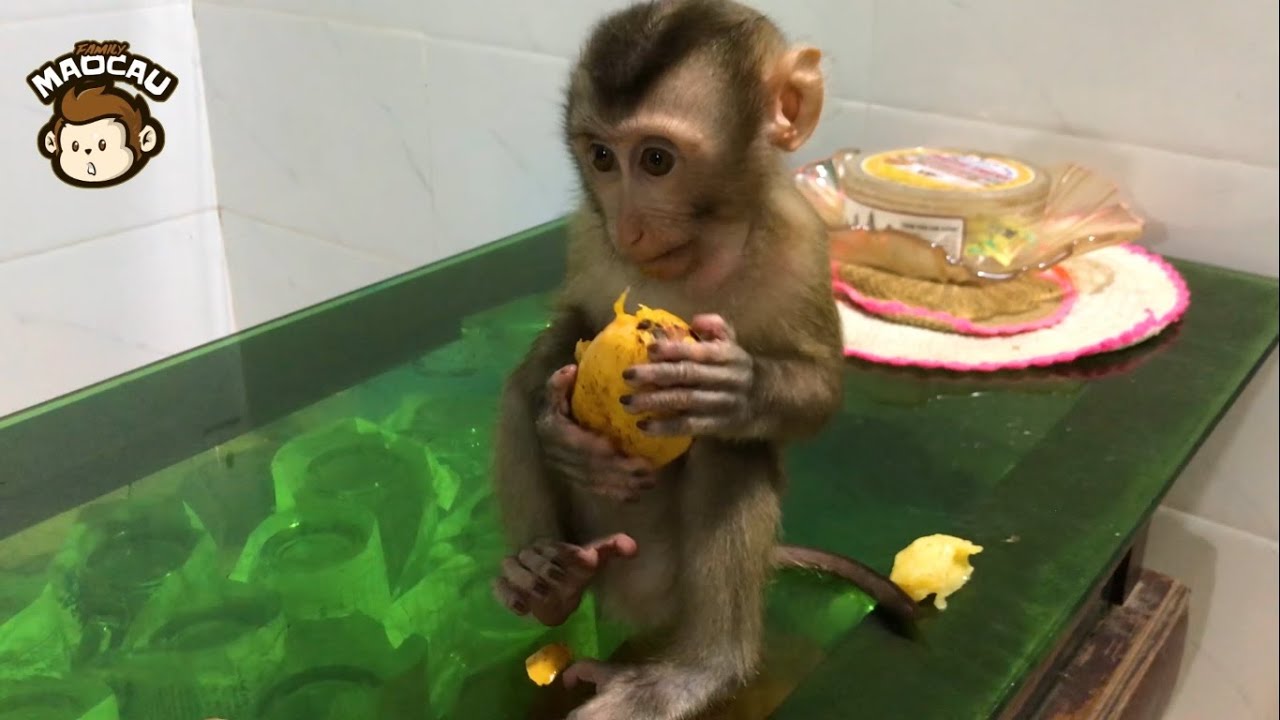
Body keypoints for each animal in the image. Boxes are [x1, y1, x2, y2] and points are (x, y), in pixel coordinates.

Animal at [491, 2, 916, 718]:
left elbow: (817, 391)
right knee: (517, 389)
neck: (700, 247)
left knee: (730, 451)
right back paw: (550, 585)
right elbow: (570, 330)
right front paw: (560, 424)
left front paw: (736, 389)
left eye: (657, 160)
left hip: (672, 586)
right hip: (600, 554)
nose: (630, 225)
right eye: (602, 158)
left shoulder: (801, 239)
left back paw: (699, 673)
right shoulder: (588, 231)